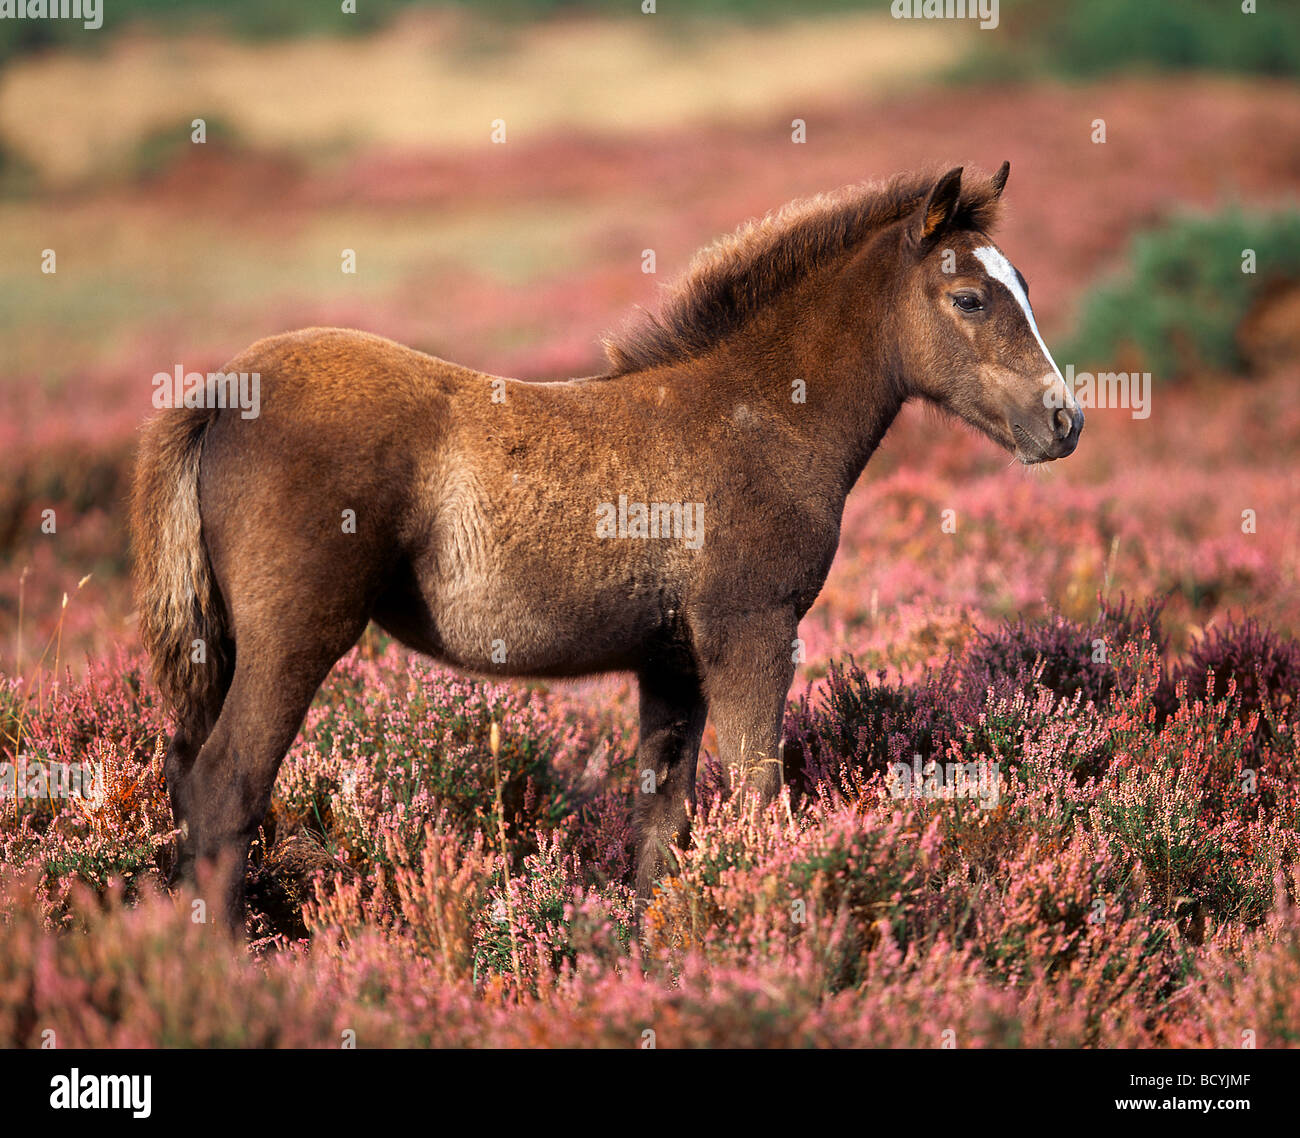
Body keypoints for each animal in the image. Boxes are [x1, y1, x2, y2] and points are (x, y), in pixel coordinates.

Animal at [130, 162, 1083, 934]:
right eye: (969, 298)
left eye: (1029, 286)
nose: (1065, 421)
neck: (759, 417)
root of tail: (220, 392)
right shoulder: (752, 633)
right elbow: (756, 795)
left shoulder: (672, 661)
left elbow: (661, 824)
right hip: (293, 640)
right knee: (224, 787)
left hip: (225, 649)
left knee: (185, 774)